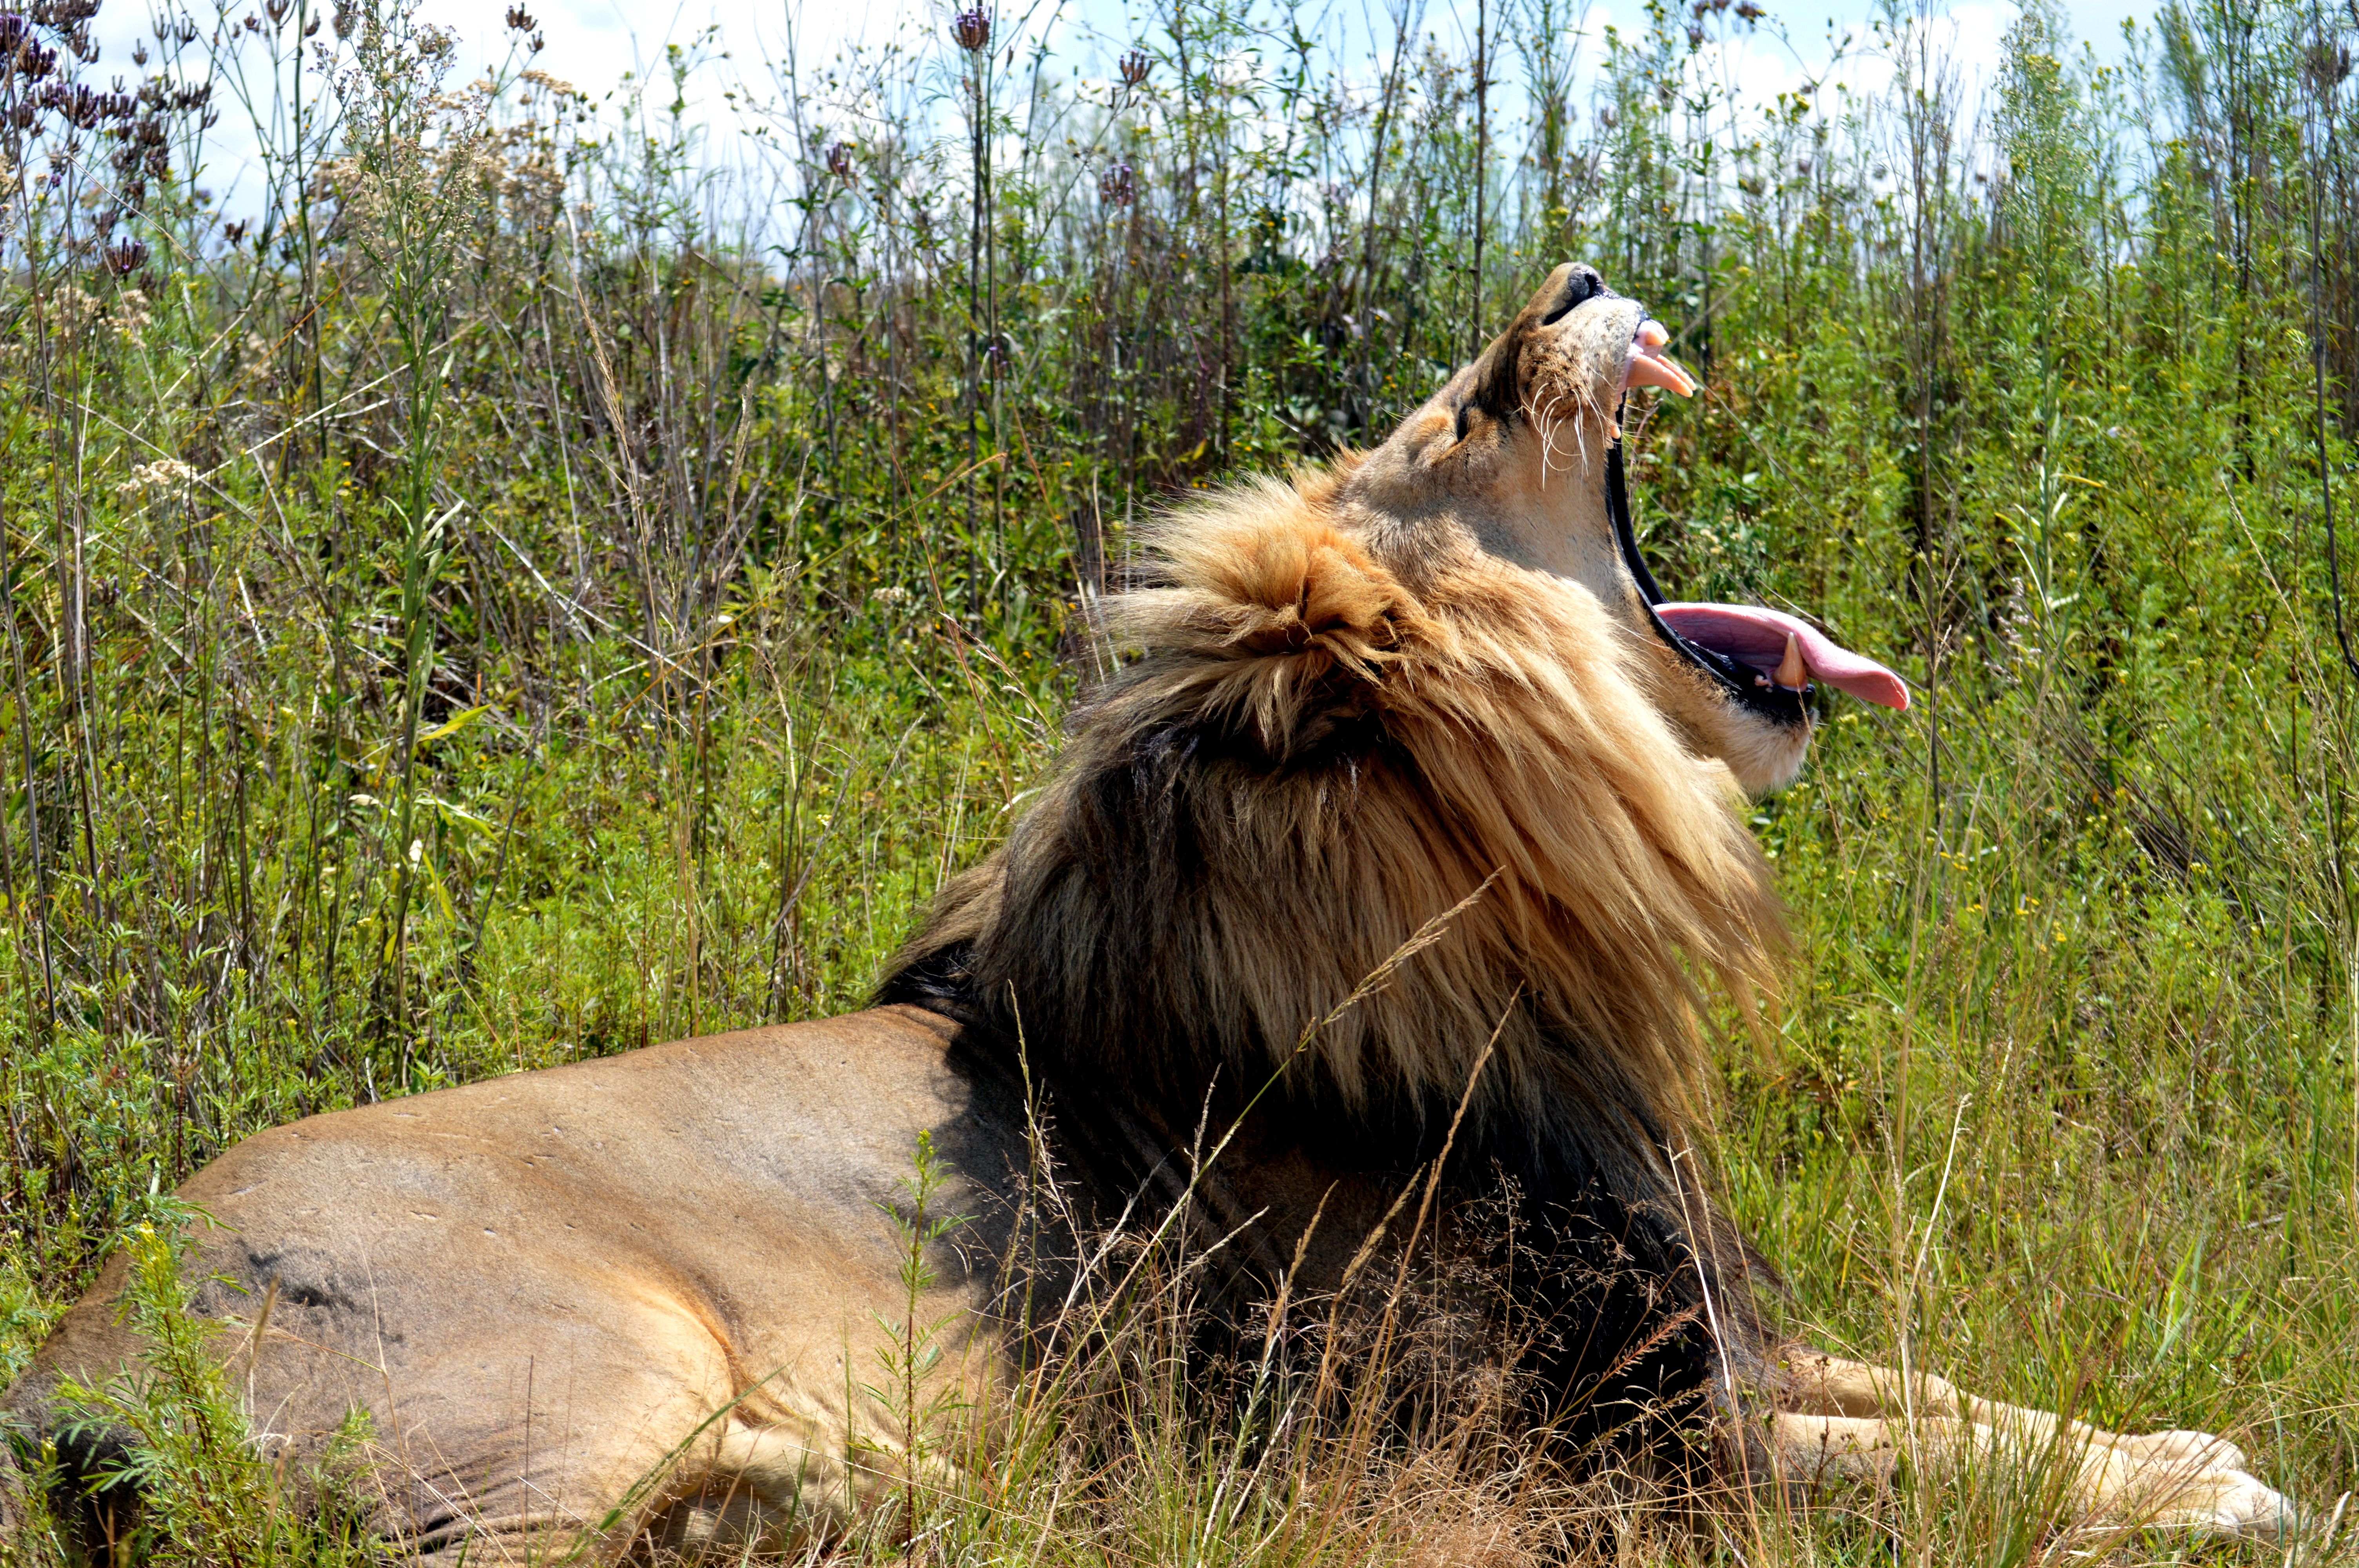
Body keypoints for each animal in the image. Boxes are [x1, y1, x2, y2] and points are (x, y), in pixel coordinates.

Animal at [2, 264, 2294, 1559]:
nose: (1573, 271)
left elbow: (1972, 1404)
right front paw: (2212, 1496)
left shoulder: (1701, 1333)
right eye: (1471, 407)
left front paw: (2189, 1435)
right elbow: (1934, 1471)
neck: (1533, 934)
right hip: (572, 1377)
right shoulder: (1582, 1442)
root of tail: (68, 1361)